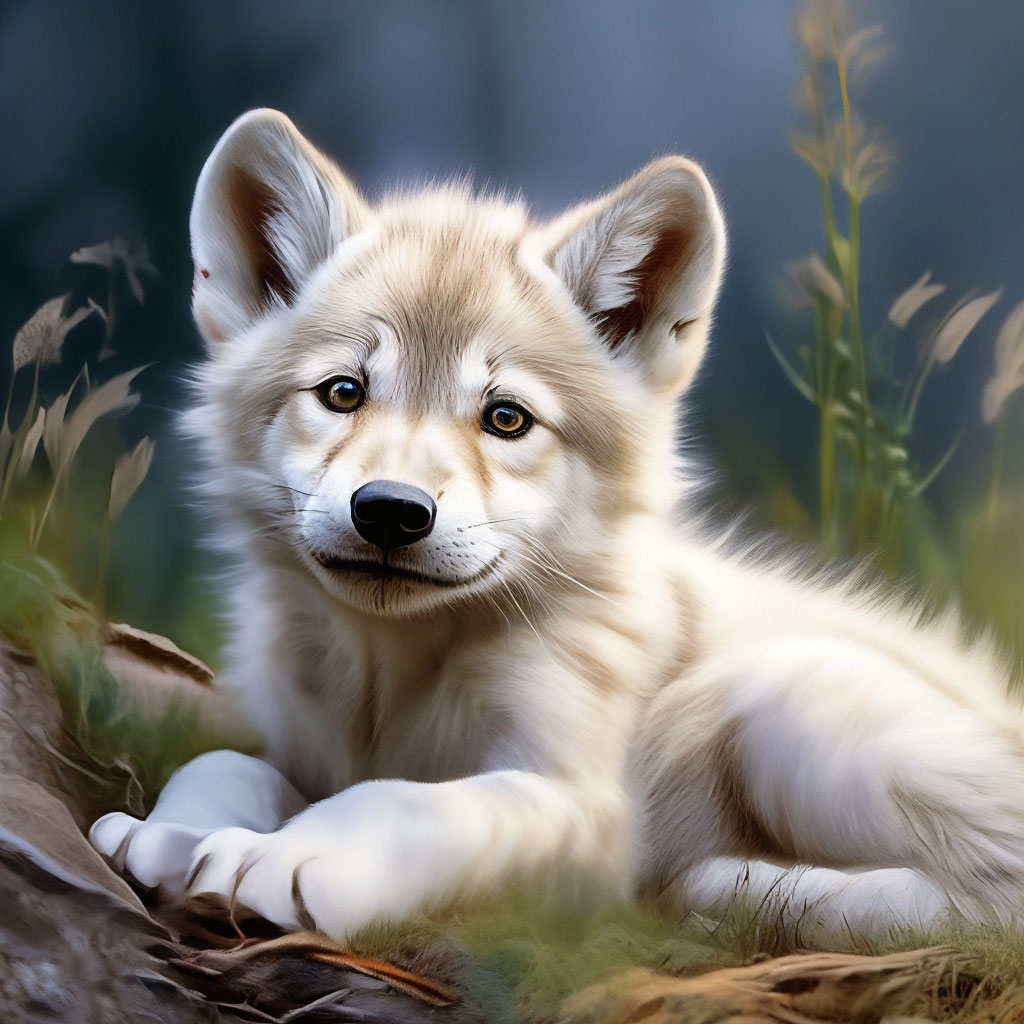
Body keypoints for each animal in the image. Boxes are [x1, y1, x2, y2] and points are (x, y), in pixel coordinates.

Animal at [91, 109, 1024, 943]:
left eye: (506, 418)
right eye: (343, 393)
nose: (390, 510)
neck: (395, 682)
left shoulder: (583, 810)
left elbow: (412, 803)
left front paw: (289, 859)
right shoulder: (298, 744)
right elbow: (227, 759)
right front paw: (170, 833)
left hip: (782, 700)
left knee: (991, 910)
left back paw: (739, 890)